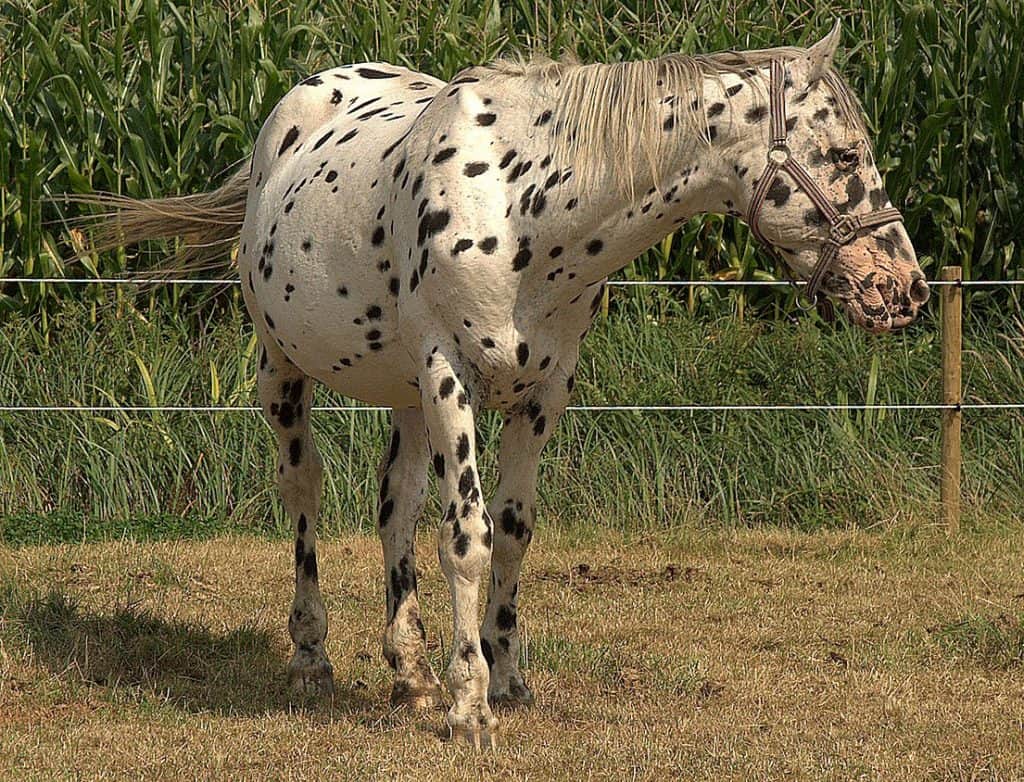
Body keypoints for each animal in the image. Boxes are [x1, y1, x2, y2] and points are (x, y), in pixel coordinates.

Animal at [81, 24, 929, 746]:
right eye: (844, 155)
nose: (905, 290)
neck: (523, 205)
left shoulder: (544, 392)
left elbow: (514, 530)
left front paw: (502, 676)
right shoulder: (449, 376)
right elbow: (468, 537)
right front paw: (469, 707)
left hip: (403, 396)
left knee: (394, 506)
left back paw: (410, 672)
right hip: (284, 369)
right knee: (304, 492)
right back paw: (313, 657)